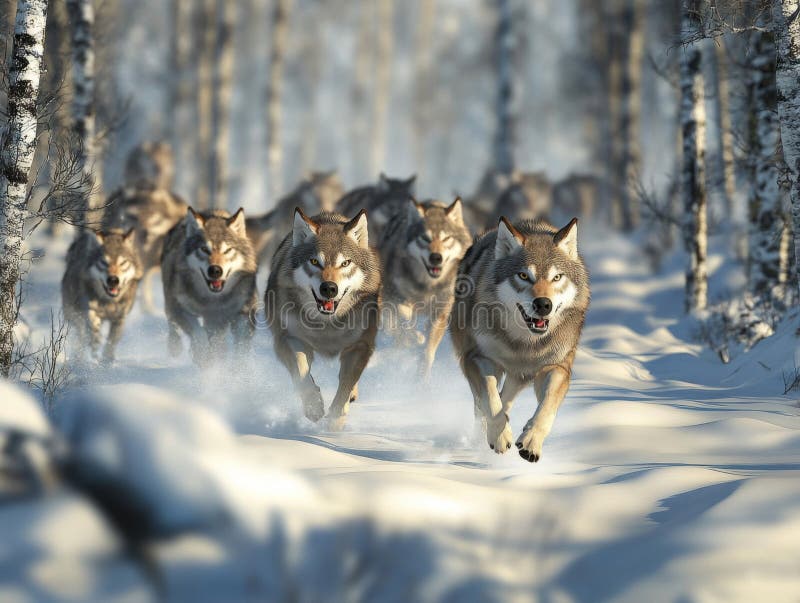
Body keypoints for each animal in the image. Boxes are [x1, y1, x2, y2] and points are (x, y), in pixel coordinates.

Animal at [62, 229, 143, 363]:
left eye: (122, 263)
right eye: (104, 262)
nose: (113, 280)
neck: (109, 302)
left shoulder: (120, 318)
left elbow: (111, 342)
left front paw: (107, 361)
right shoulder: (90, 311)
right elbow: (94, 335)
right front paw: (95, 356)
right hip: (73, 314)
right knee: (81, 336)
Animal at [161, 208, 258, 364]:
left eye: (227, 250)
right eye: (204, 249)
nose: (215, 270)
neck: (212, 301)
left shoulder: (243, 311)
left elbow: (240, 347)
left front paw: (239, 367)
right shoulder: (179, 307)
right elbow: (198, 332)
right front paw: (202, 355)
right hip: (170, 303)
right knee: (173, 327)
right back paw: (176, 349)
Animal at [266, 208, 380, 425]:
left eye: (345, 263)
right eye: (314, 261)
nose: (329, 288)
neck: (327, 326)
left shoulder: (360, 345)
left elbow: (345, 385)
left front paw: (335, 419)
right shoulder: (289, 338)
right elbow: (302, 375)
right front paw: (313, 407)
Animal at [378, 197, 472, 378]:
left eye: (446, 239)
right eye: (425, 238)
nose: (436, 257)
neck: (427, 287)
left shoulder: (441, 312)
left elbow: (428, 353)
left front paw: (422, 378)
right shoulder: (395, 297)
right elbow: (404, 316)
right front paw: (414, 337)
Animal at [451, 217, 589, 462]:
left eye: (557, 277)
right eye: (524, 275)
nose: (543, 304)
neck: (524, 344)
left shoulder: (556, 366)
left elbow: (546, 406)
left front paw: (531, 441)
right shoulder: (479, 358)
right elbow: (490, 399)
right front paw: (499, 436)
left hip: (521, 376)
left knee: (506, 398)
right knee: (484, 403)